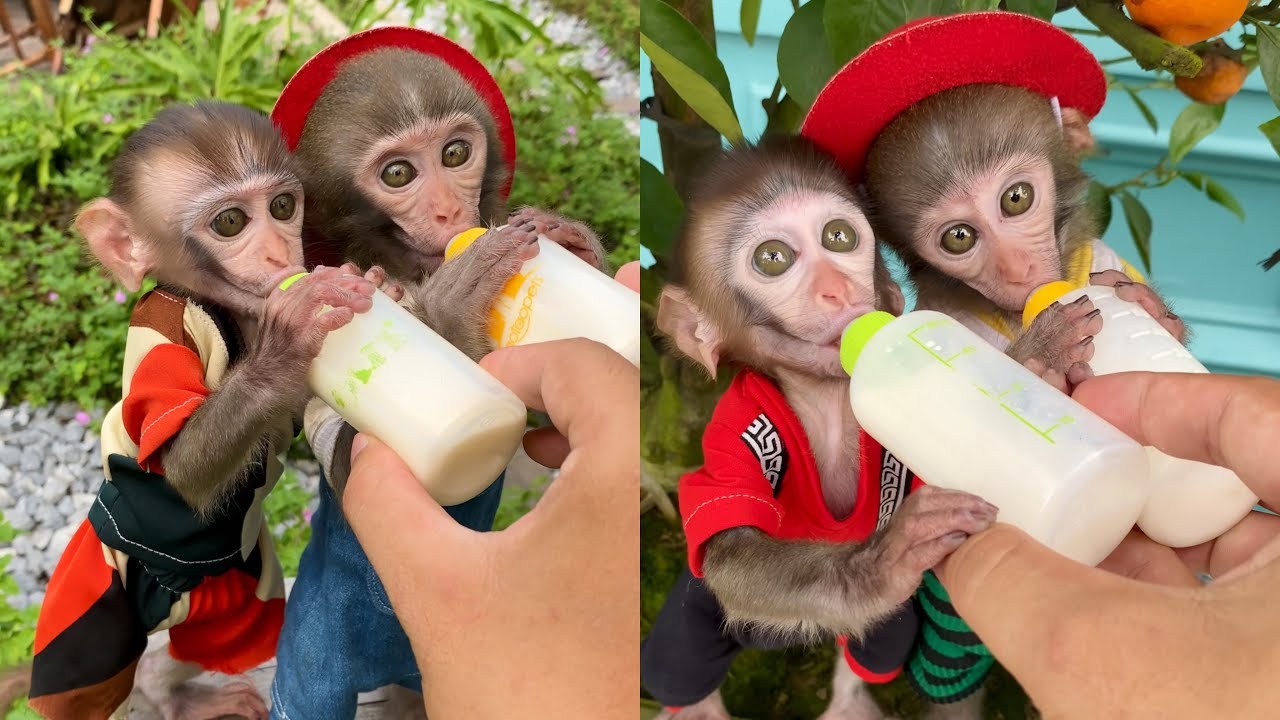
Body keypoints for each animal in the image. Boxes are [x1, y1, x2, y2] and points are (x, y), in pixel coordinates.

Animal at [20, 101, 387, 720]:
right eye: (231, 223)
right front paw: (291, 333)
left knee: (229, 639)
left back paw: (167, 690)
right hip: (92, 593)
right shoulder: (164, 329)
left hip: (241, 590)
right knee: (84, 683)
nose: (280, 255)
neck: (235, 318)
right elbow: (184, 467)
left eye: (283, 207)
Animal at [264, 28, 612, 719]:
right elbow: (341, 455)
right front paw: (454, 305)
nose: (454, 213)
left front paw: (573, 240)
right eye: (398, 173)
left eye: (455, 154)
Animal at [638, 136, 998, 720]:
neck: (828, 404)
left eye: (839, 237)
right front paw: (882, 561)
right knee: (679, 651)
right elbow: (731, 548)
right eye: (773, 258)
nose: (837, 289)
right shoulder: (737, 424)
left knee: (882, 637)